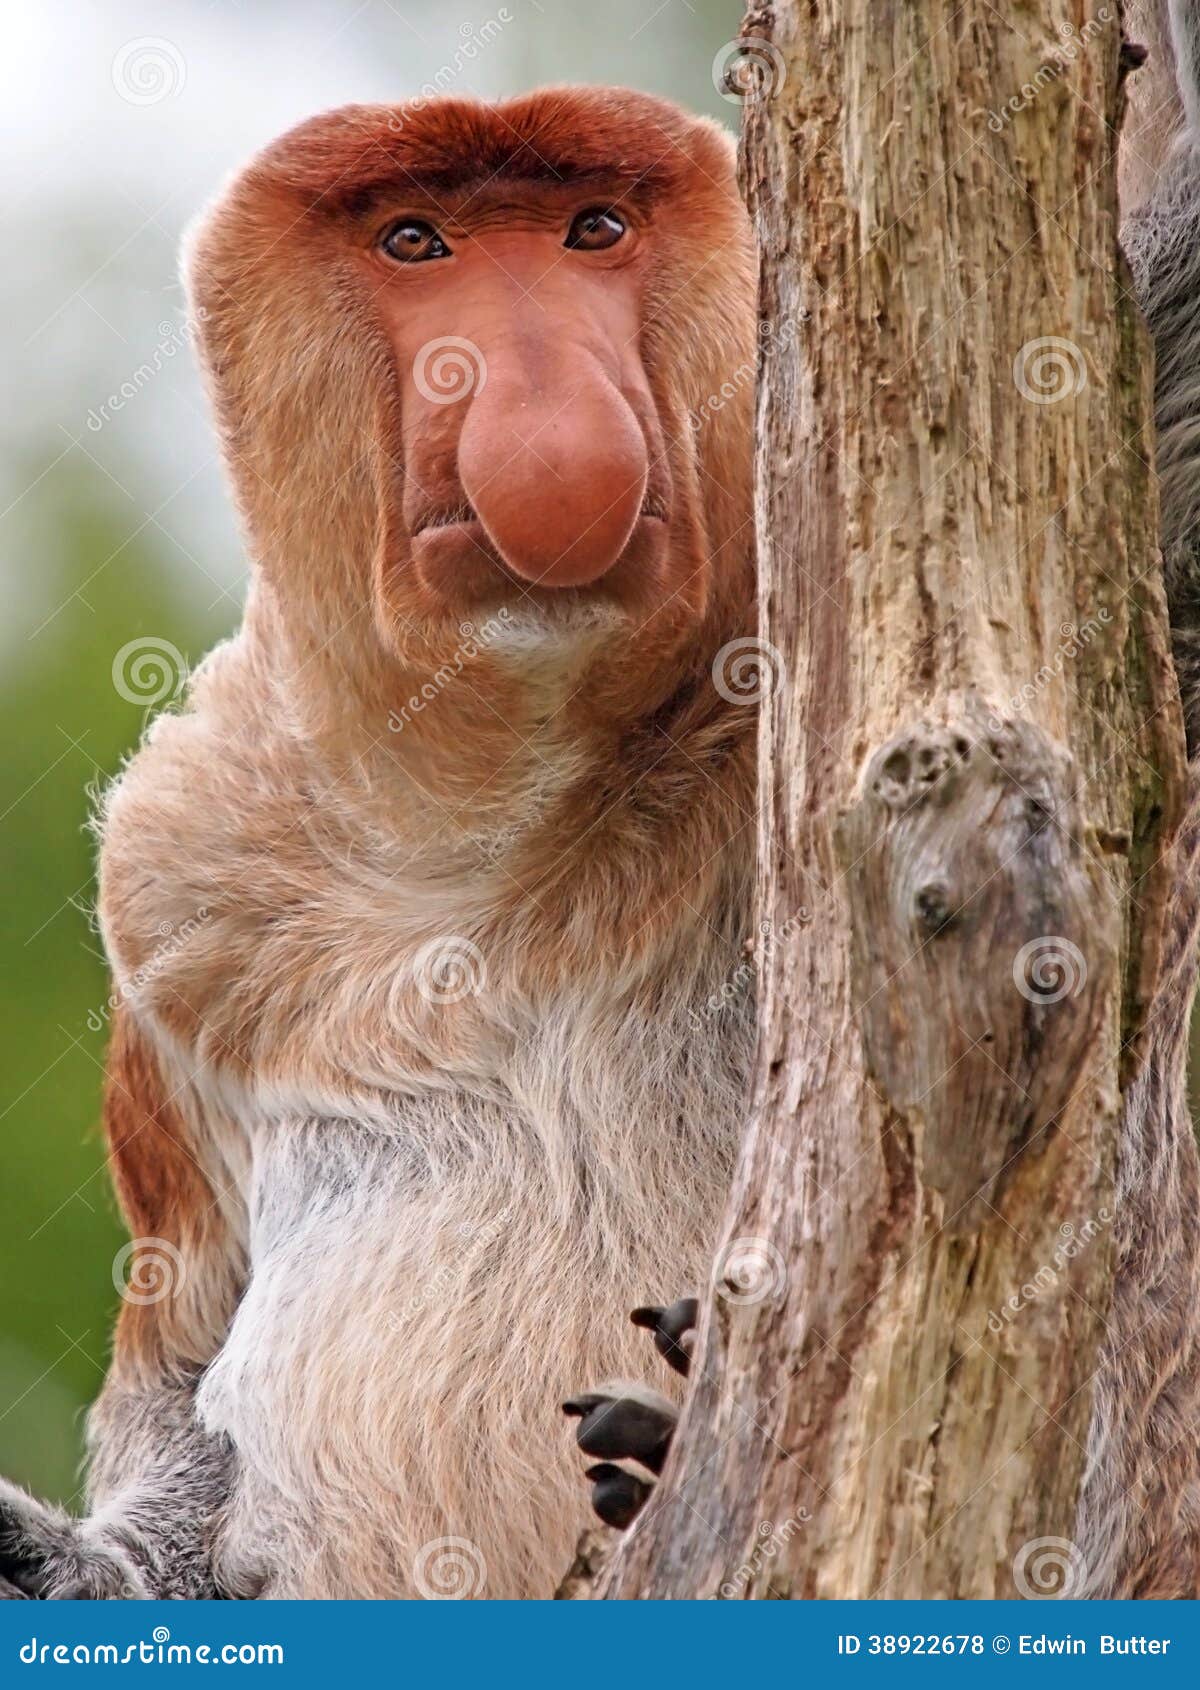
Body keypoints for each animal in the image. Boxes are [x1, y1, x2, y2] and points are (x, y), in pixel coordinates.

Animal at [3, 6, 1200, 1599]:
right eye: (416, 240)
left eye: (592, 230)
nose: (533, 385)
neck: (493, 797)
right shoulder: (176, 882)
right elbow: (177, 1367)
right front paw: (69, 1560)